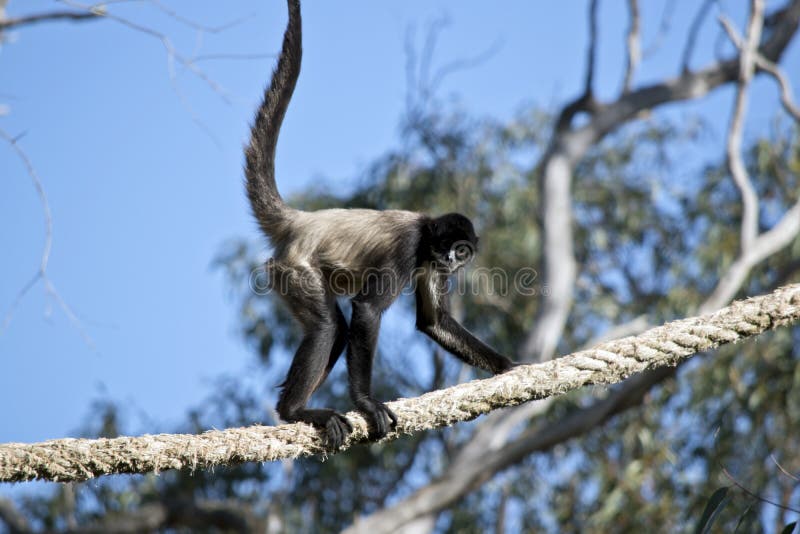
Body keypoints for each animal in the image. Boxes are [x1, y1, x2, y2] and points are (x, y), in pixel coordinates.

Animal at [245, 0, 515, 448]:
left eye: (462, 253)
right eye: (448, 247)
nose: (451, 260)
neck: (426, 233)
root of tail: (302, 220)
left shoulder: (426, 260)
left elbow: (432, 321)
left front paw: (509, 367)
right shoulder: (409, 247)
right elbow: (368, 310)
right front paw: (366, 403)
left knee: (335, 330)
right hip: (293, 268)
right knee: (328, 326)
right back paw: (296, 411)